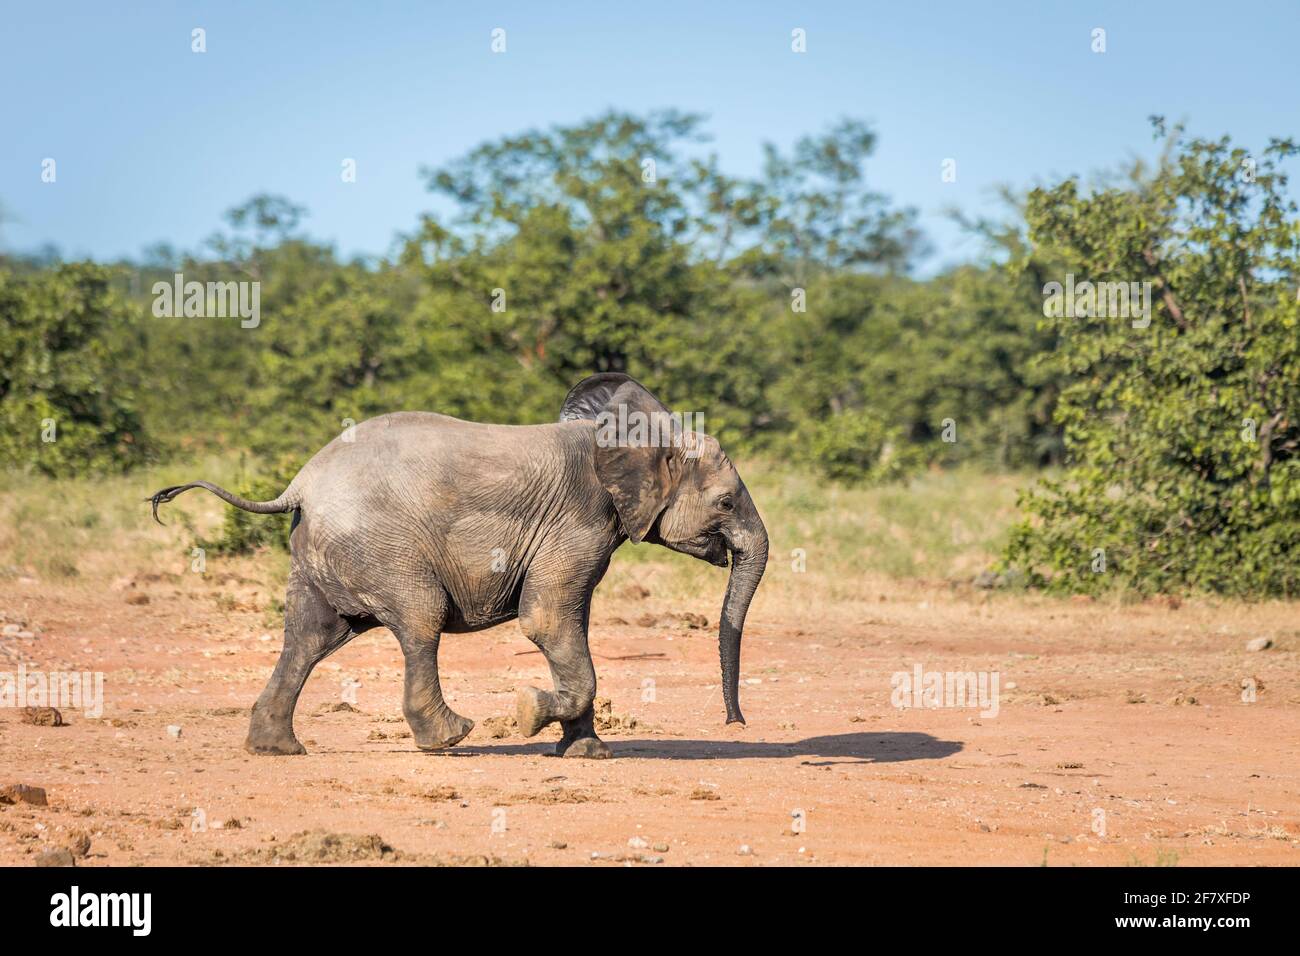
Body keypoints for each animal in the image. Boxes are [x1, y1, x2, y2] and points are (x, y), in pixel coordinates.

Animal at [147, 373, 769, 759]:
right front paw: (526, 711)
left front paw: (588, 754)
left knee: (310, 637)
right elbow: (547, 620)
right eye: (725, 504)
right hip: (383, 547)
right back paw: (450, 737)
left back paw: (277, 748)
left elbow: (572, 624)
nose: (735, 723)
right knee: (418, 621)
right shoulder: (579, 522)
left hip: (320, 554)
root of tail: (298, 485)